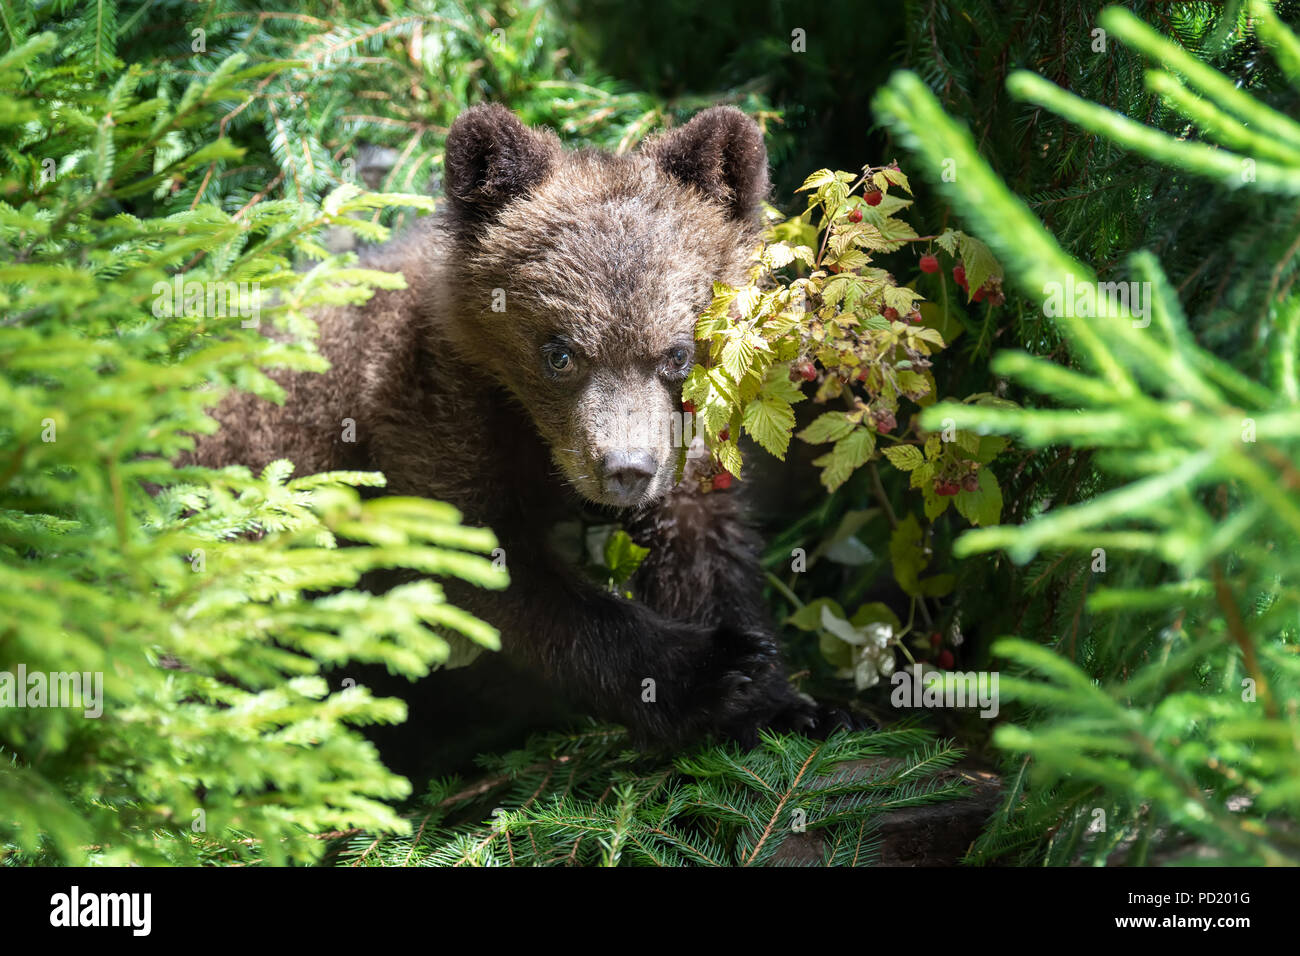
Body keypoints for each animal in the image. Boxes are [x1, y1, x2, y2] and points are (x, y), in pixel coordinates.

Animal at [186, 104, 848, 754]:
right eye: (560, 353)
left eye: (677, 353)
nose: (626, 469)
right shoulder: (428, 417)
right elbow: (493, 575)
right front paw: (711, 671)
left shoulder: (690, 437)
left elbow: (703, 549)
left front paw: (786, 699)